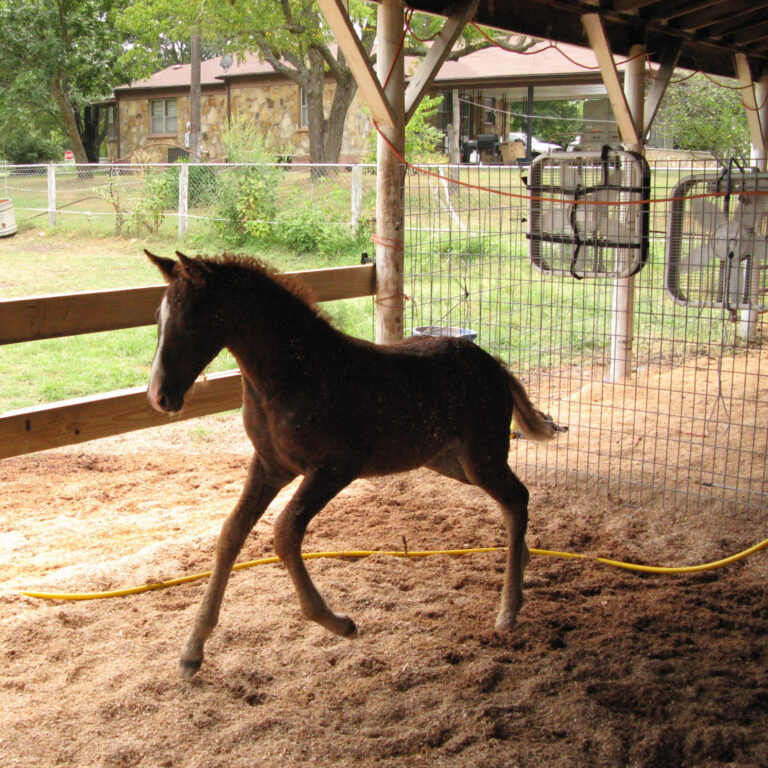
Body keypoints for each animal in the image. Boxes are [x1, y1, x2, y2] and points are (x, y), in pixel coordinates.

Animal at [145, 250, 555, 678]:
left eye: (192, 320)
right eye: (158, 318)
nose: (159, 396)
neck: (295, 375)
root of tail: (494, 364)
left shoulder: (334, 469)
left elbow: (284, 532)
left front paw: (338, 622)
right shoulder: (270, 467)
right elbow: (230, 535)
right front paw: (192, 651)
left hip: (480, 457)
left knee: (517, 498)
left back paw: (509, 609)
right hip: (451, 462)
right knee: (512, 501)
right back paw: (522, 568)